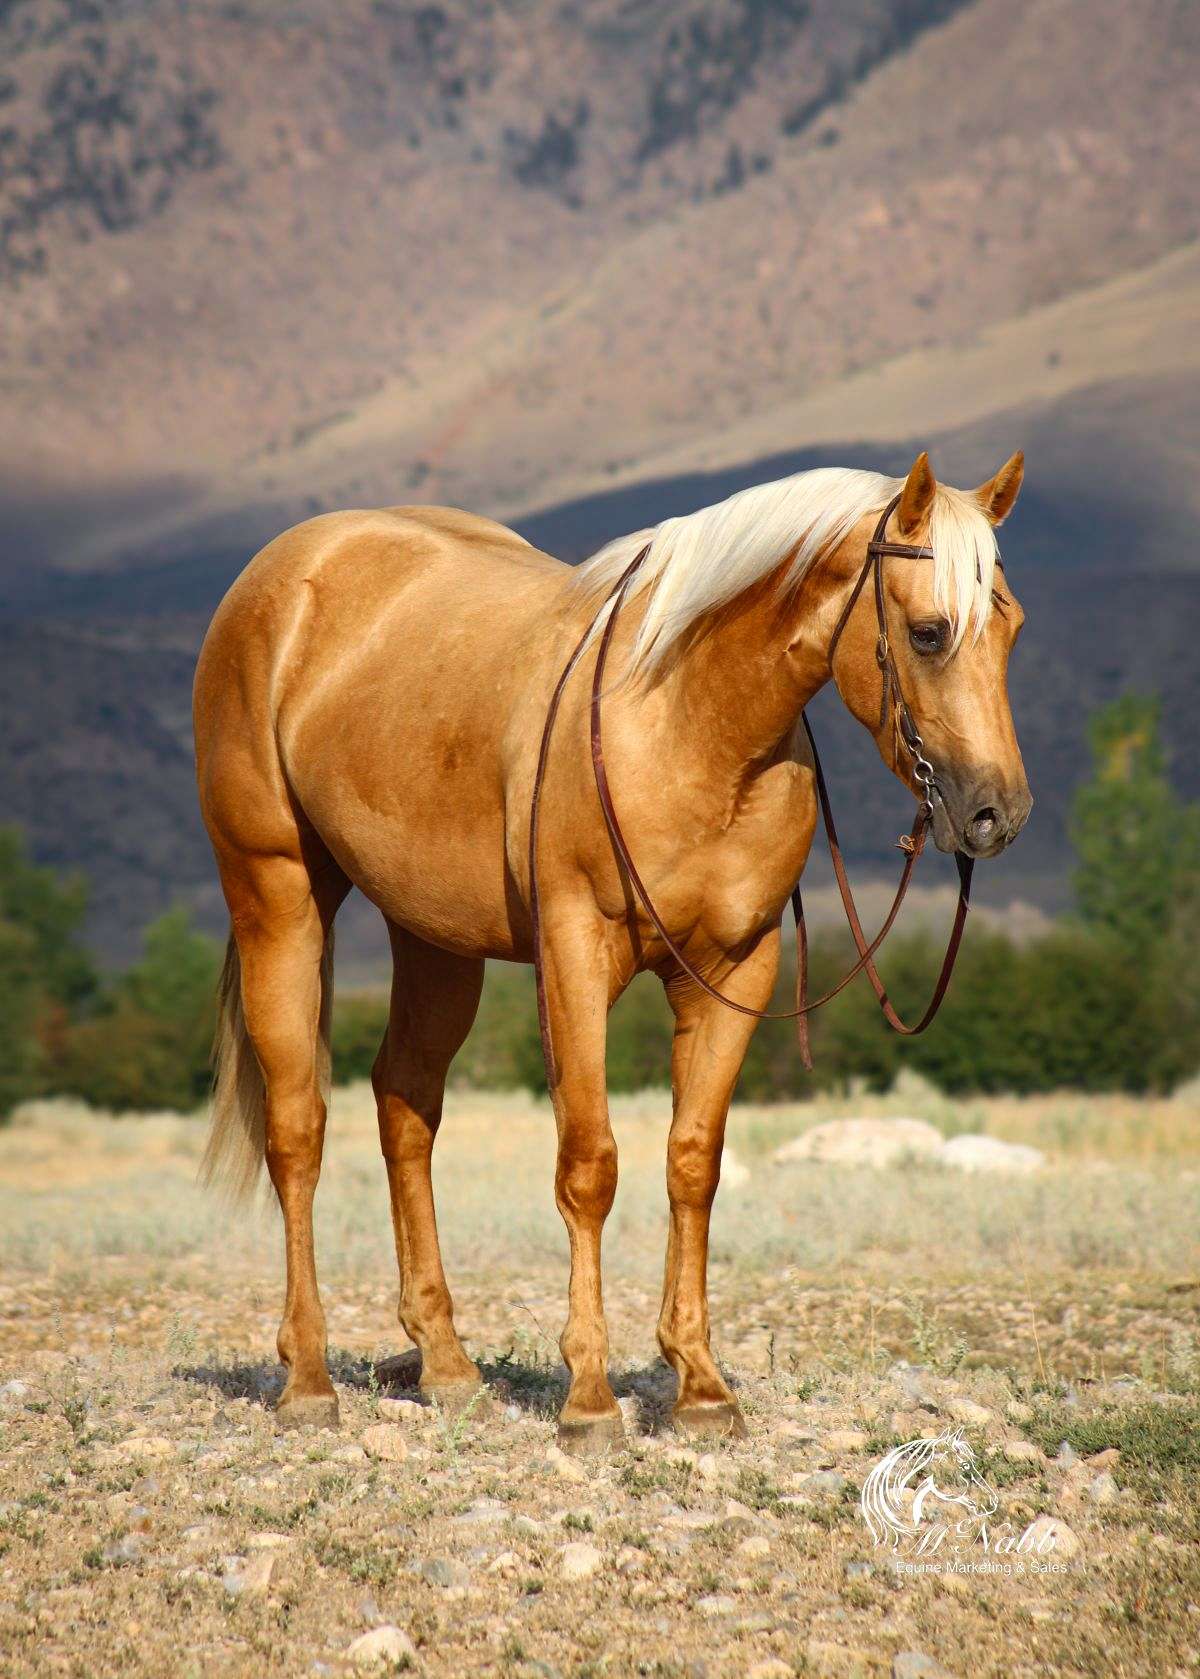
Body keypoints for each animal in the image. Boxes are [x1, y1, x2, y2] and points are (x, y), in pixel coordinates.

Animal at [192, 449, 1031, 1448]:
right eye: (931, 632)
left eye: (1010, 626)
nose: (996, 813)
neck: (690, 723)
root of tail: (286, 570)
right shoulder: (575, 956)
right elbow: (589, 1165)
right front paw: (589, 1398)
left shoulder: (734, 970)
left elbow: (693, 1163)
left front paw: (700, 1386)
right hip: (278, 896)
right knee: (298, 1130)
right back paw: (308, 1378)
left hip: (433, 940)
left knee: (405, 1105)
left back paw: (447, 1366)